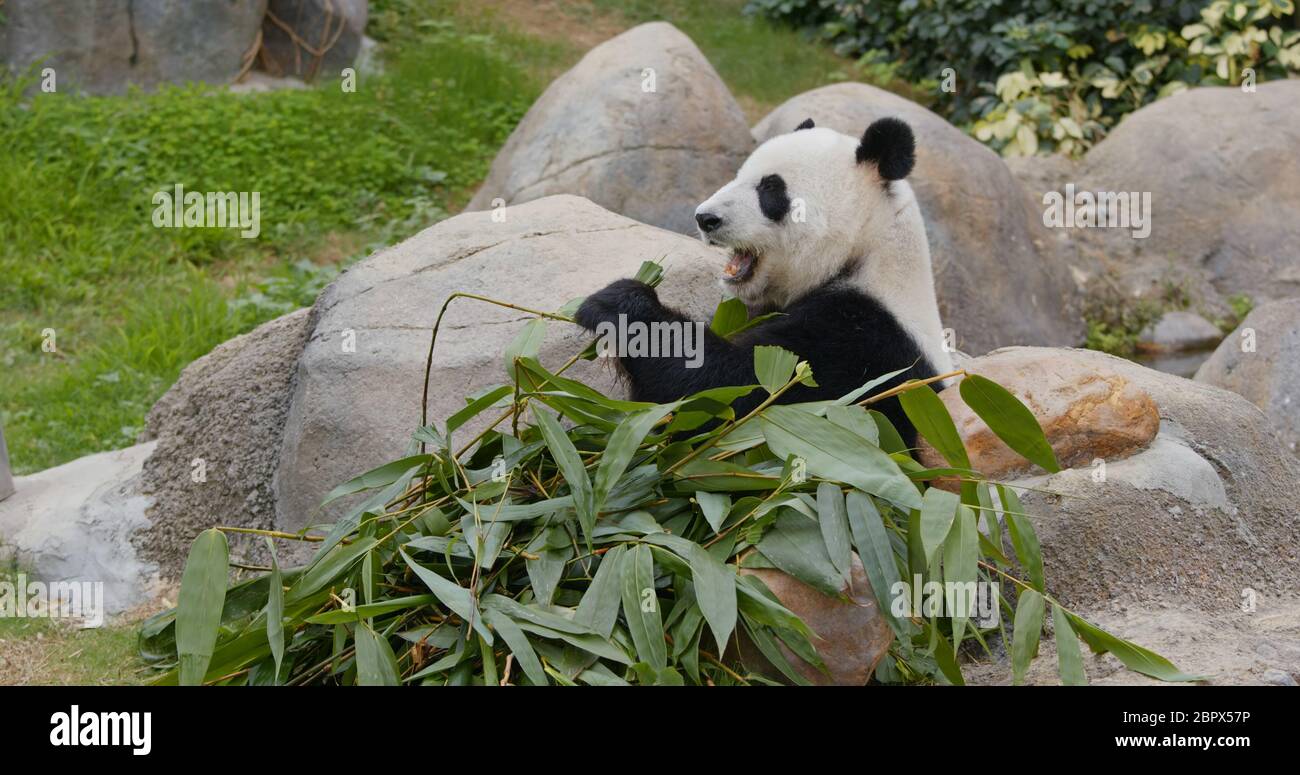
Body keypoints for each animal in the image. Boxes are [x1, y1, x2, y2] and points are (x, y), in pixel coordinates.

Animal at [575, 116, 953, 446]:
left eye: (771, 189)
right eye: (739, 174)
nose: (705, 218)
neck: (866, 253)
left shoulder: (864, 349)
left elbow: (735, 394)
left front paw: (620, 303)